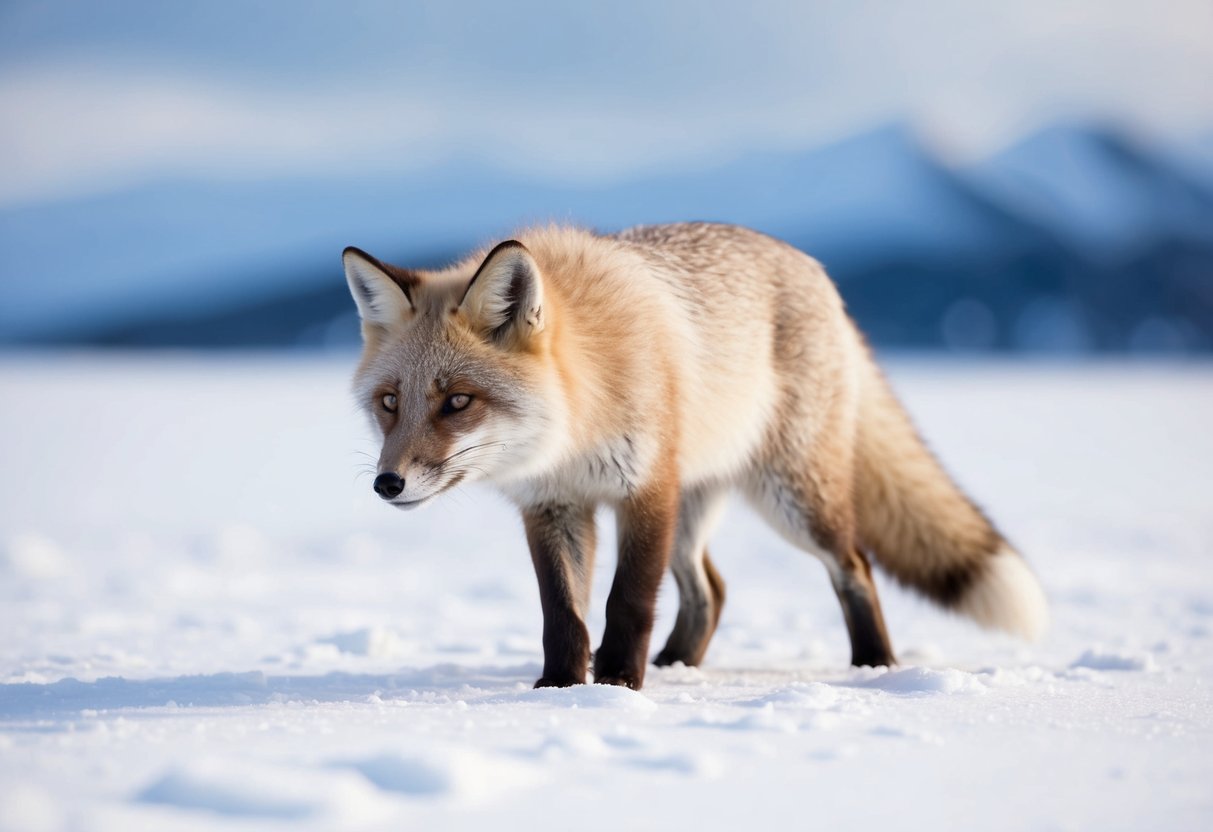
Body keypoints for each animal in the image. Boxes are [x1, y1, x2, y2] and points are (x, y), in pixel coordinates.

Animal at [342, 222, 1047, 690]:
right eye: (389, 402)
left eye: (458, 401)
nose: (387, 483)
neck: (576, 425)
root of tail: (816, 271)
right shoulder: (554, 507)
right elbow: (562, 614)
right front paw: (562, 690)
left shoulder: (644, 489)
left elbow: (627, 601)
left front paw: (617, 687)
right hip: (693, 515)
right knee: (712, 590)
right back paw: (678, 665)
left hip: (791, 502)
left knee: (855, 565)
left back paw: (875, 665)